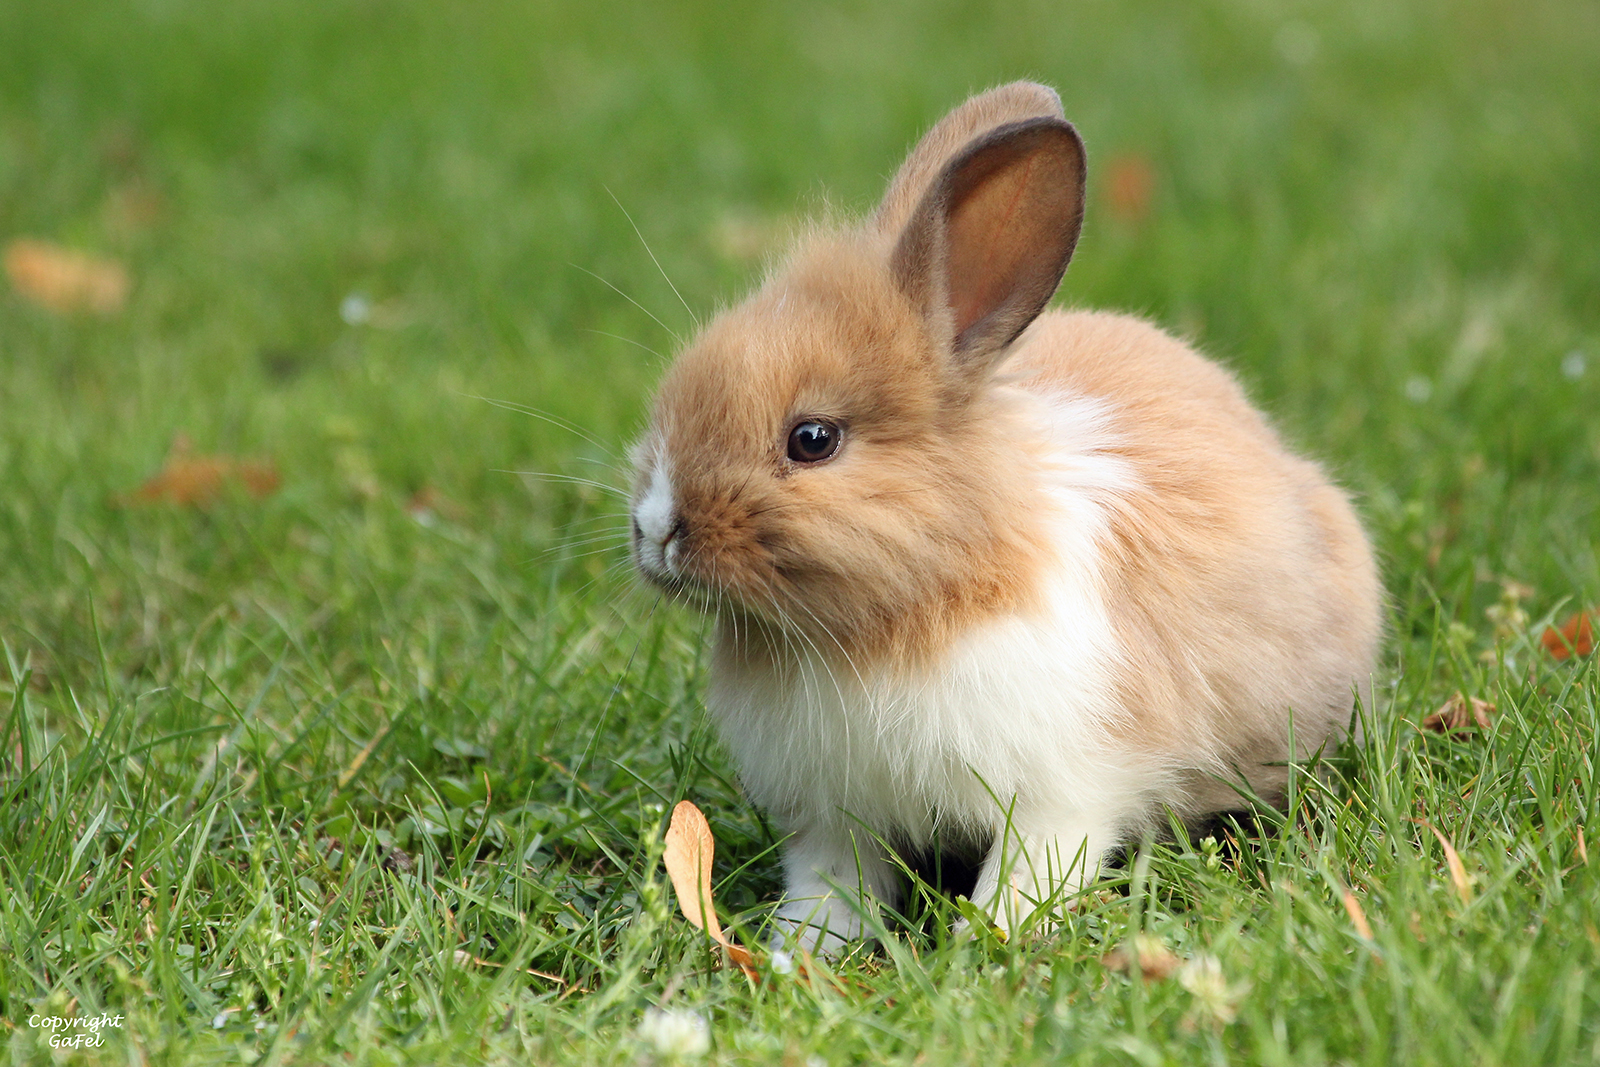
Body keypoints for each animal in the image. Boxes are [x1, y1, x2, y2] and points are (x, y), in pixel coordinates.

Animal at [630, 83, 1382, 953]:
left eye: (812, 439)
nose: (656, 528)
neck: (881, 627)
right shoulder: (832, 813)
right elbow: (833, 884)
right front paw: (802, 949)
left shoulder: (1064, 789)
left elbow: (1031, 865)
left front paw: (988, 938)